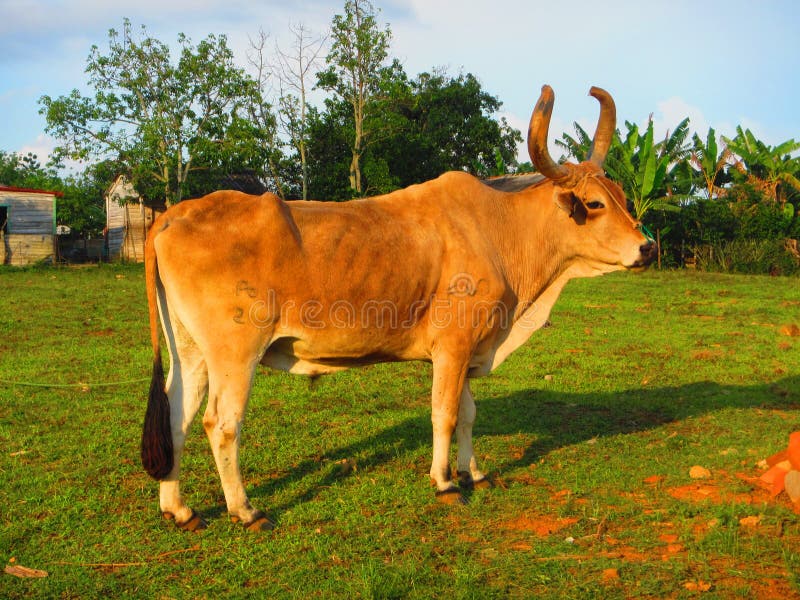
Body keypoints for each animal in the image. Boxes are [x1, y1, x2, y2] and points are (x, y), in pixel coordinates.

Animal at [141, 85, 656, 532]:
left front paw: (475, 472)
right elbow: (444, 413)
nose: (647, 248)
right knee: (221, 424)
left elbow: (468, 412)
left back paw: (179, 509)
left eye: (623, 198)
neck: (499, 229)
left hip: (192, 352)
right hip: (235, 354)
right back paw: (245, 510)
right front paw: (445, 482)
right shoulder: (453, 346)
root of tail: (174, 213)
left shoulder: (465, 351)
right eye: (594, 203)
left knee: (175, 417)